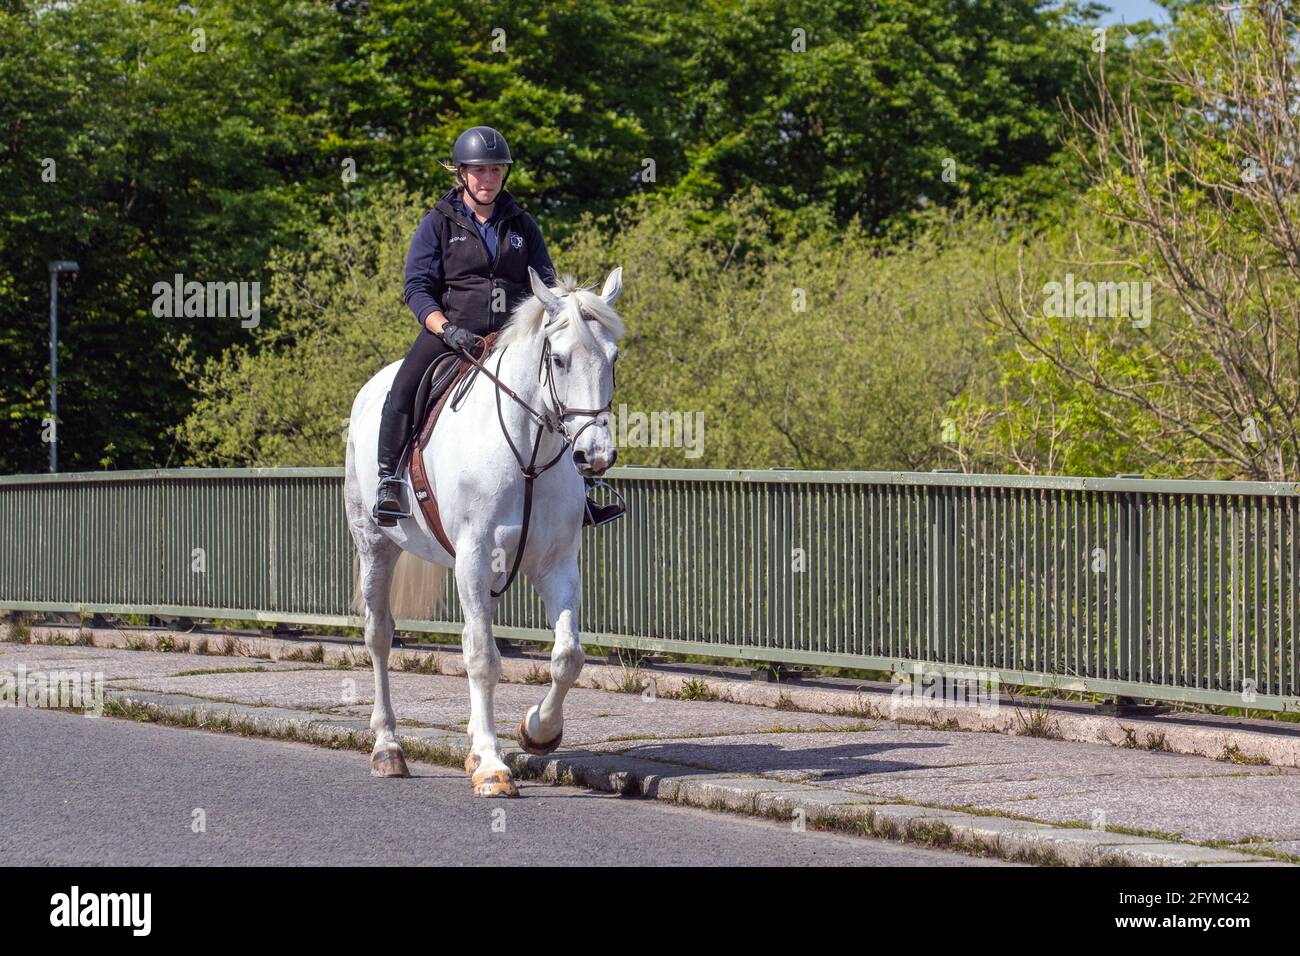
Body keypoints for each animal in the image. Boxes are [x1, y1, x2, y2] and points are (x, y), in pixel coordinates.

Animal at [343, 266, 625, 797]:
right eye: (559, 359)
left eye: (613, 358)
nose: (594, 455)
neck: (528, 454)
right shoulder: (472, 561)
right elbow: (482, 659)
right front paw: (494, 767)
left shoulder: (556, 564)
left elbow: (567, 657)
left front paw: (537, 732)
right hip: (375, 546)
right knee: (379, 636)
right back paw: (388, 747)